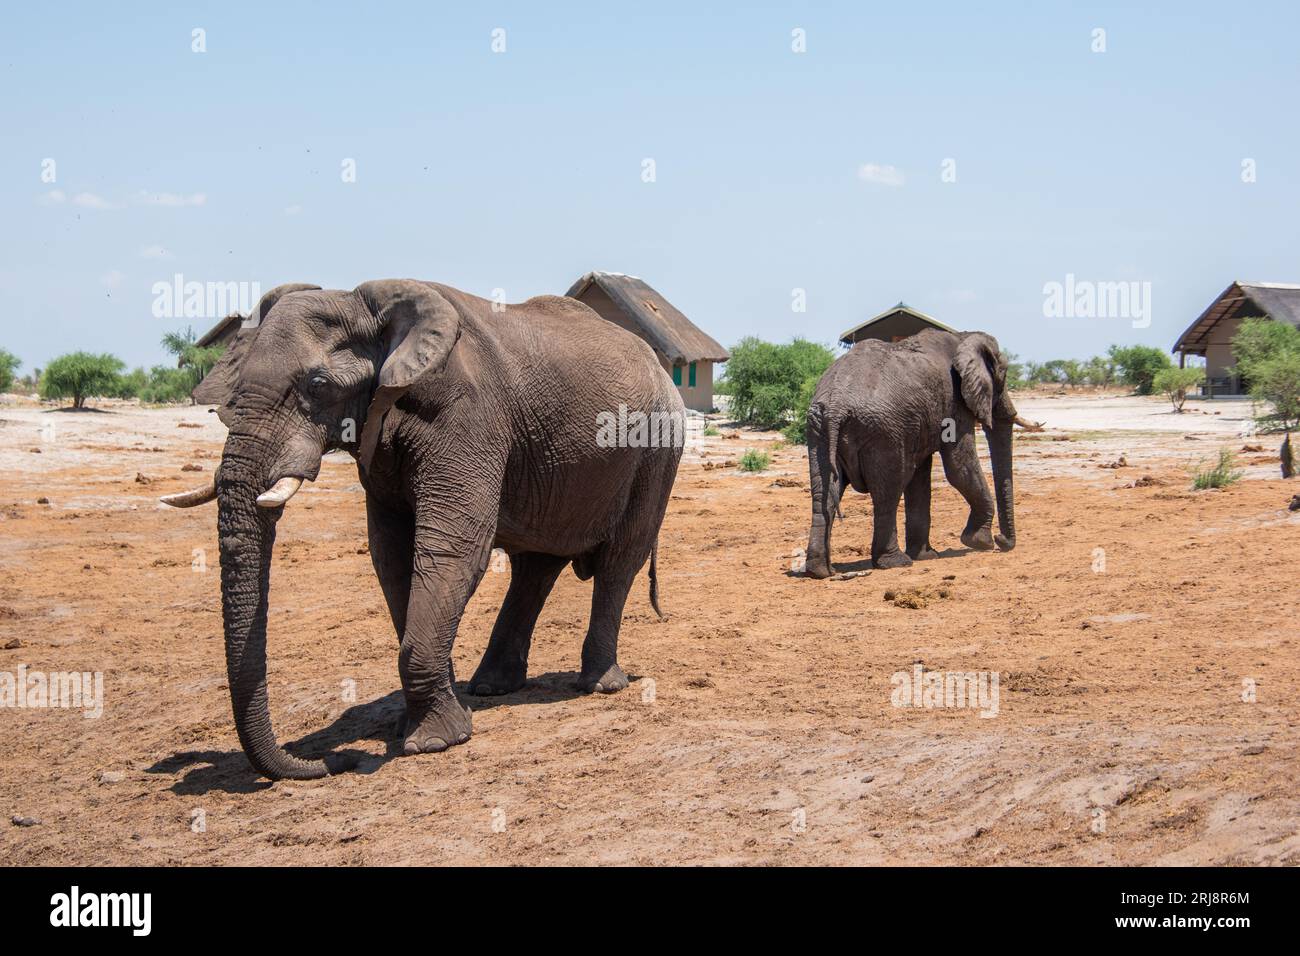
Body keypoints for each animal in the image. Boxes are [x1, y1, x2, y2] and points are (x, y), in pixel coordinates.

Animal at [162, 279, 683, 780]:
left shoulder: (465, 416)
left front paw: (432, 742)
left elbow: (455, 548)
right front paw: (424, 724)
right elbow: (391, 556)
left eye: (317, 384)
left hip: (657, 450)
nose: (337, 763)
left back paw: (599, 685)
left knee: (618, 563)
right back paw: (491, 688)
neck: (363, 305)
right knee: (534, 569)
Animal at [803, 329, 1027, 578]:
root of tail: (836, 408)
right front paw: (979, 542)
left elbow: (921, 477)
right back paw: (896, 562)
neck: (962, 336)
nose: (1001, 541)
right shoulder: (954, 404)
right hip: (882, 432)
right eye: (1003, 376)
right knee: (887, 493)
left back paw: (820, 571)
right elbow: (959, 467)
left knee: (824, 494)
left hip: (819, 429)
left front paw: (927, 556)